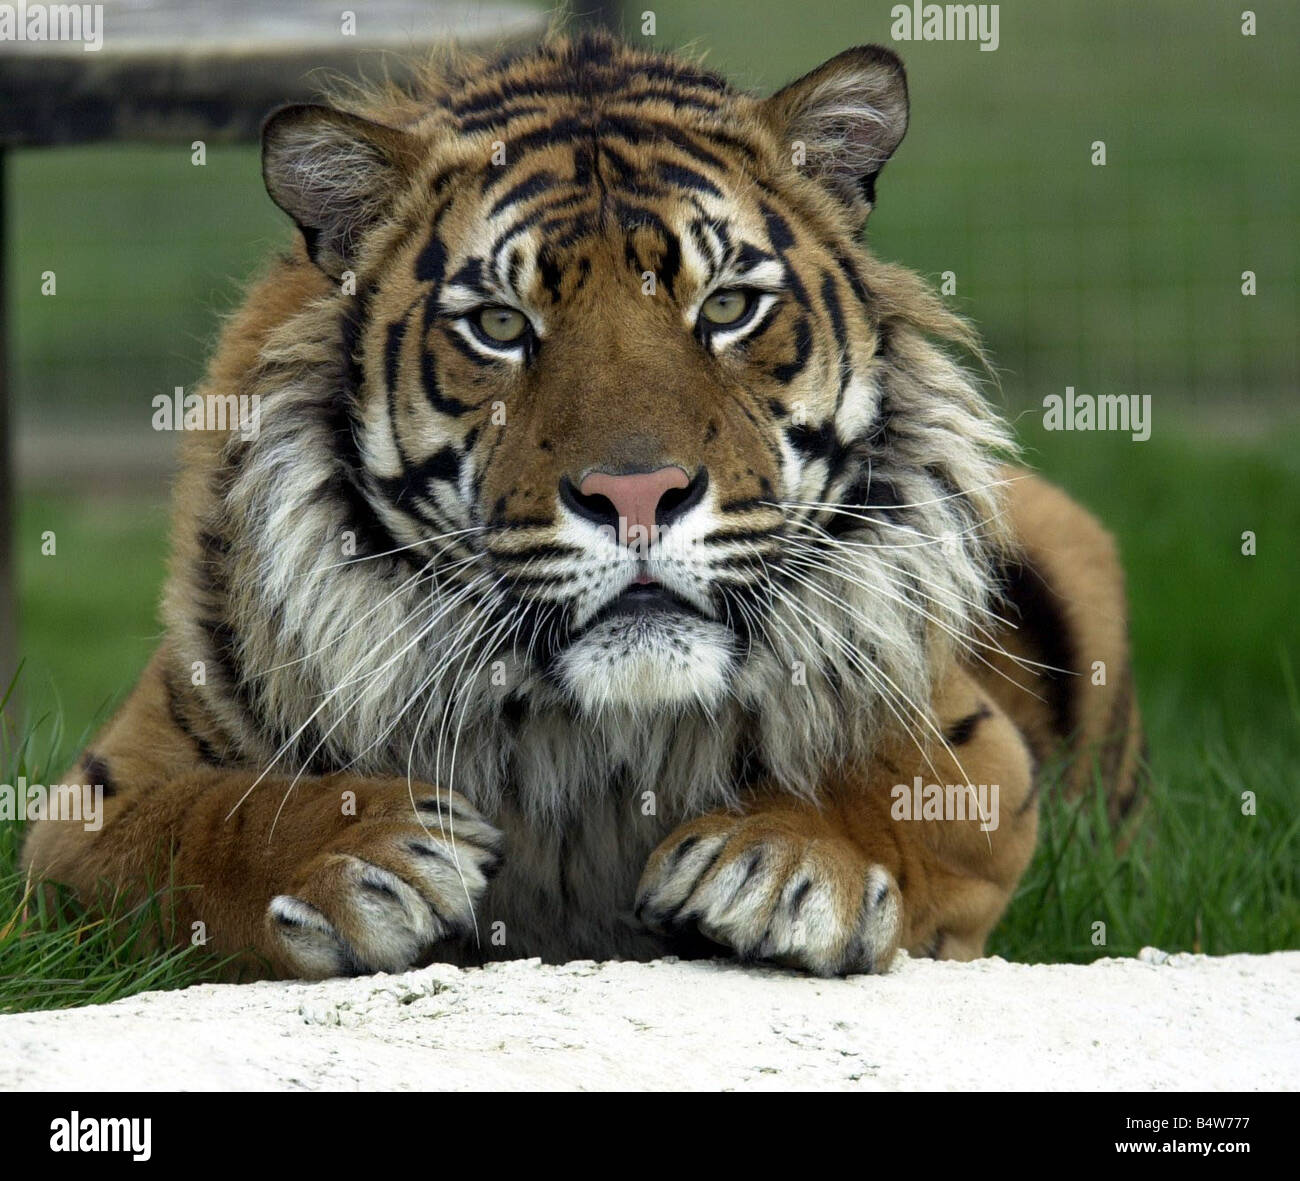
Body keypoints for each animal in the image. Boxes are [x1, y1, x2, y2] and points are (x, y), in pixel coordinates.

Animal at [21, 29, 1143, 979]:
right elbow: (196, 826)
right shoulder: (88, 806)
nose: (636, 491)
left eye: (727, 306)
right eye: (499, 324)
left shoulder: (972, 744)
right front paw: (357, 853)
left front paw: (783, 859)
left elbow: (892, 797)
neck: (593, 748)